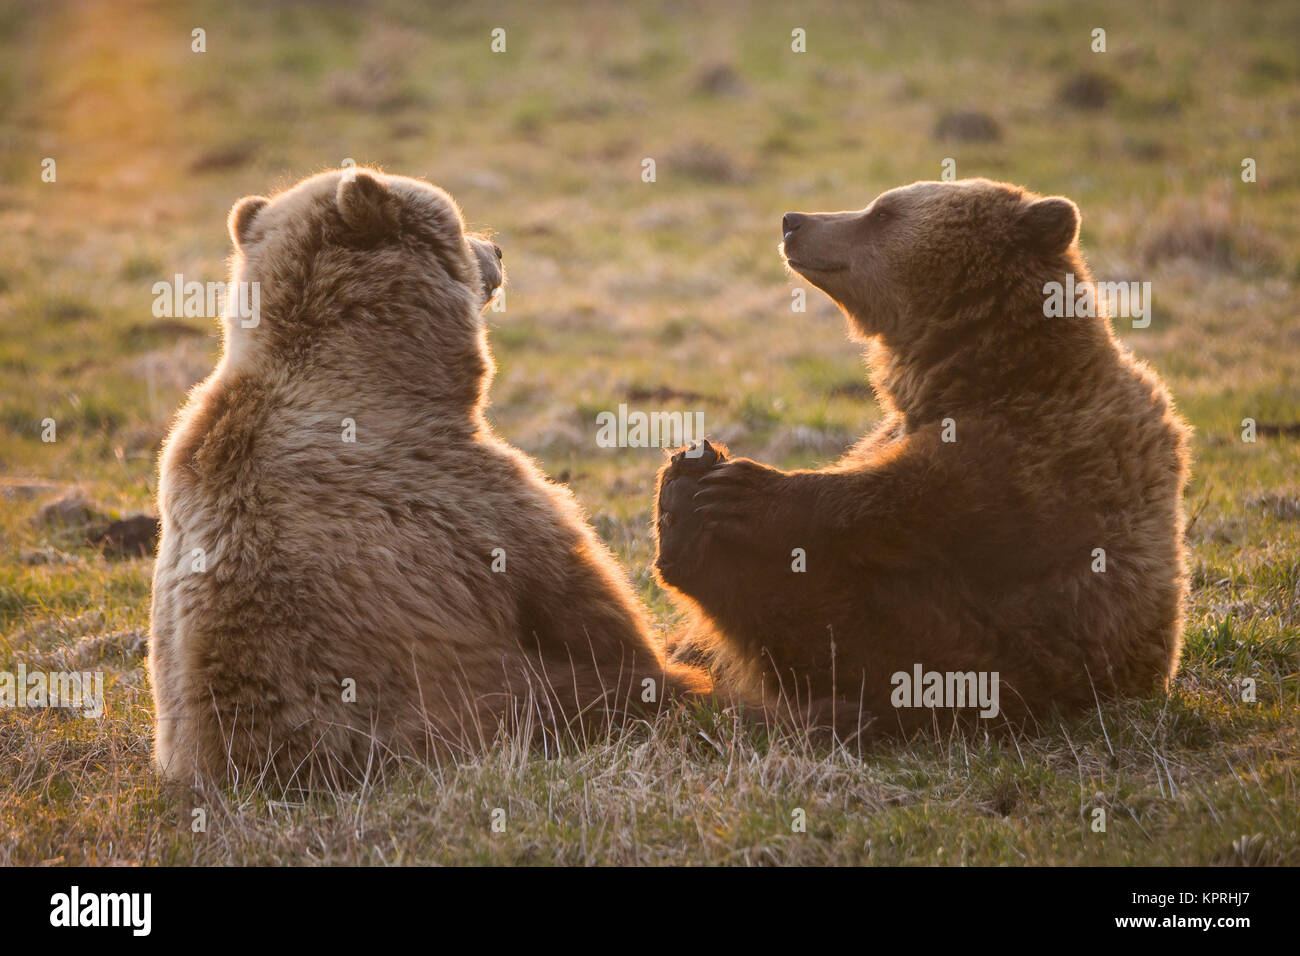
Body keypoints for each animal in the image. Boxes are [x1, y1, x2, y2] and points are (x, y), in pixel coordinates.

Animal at [148, 168, 709, 788]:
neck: (381, 376)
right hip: (486, 701)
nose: (496, 250)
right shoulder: (473, 499)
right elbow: (594, 608)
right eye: (460, 225)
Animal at [654, 178, 1190, 738]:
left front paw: (748, 489)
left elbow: (934, 497)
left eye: (883, 213)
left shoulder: (1057, 452)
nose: (793, 221)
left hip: (988, 654)